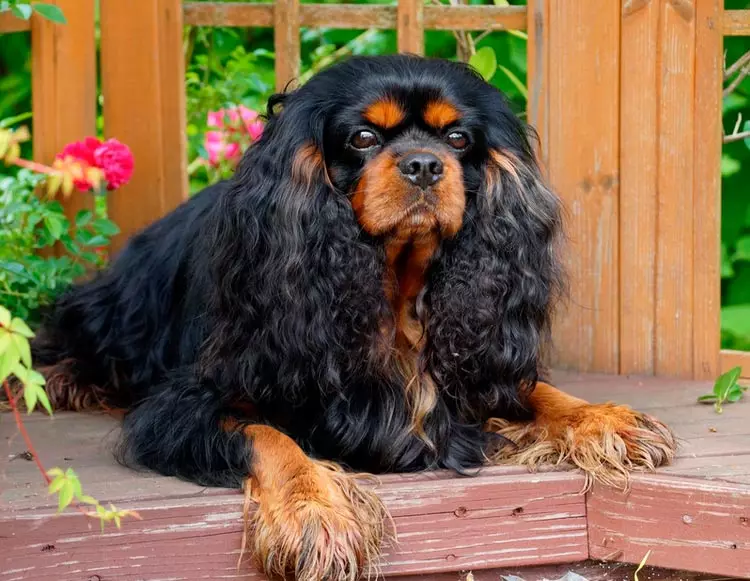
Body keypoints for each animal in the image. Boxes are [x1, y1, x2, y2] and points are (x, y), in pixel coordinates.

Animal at [32, 56, 680, 580]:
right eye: (364, 137)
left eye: (458, 138)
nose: (424, 164)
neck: (392, 290)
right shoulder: (182, 406)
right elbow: (266, 435)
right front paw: (315, 510)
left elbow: (532, 389)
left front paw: (602, 419)